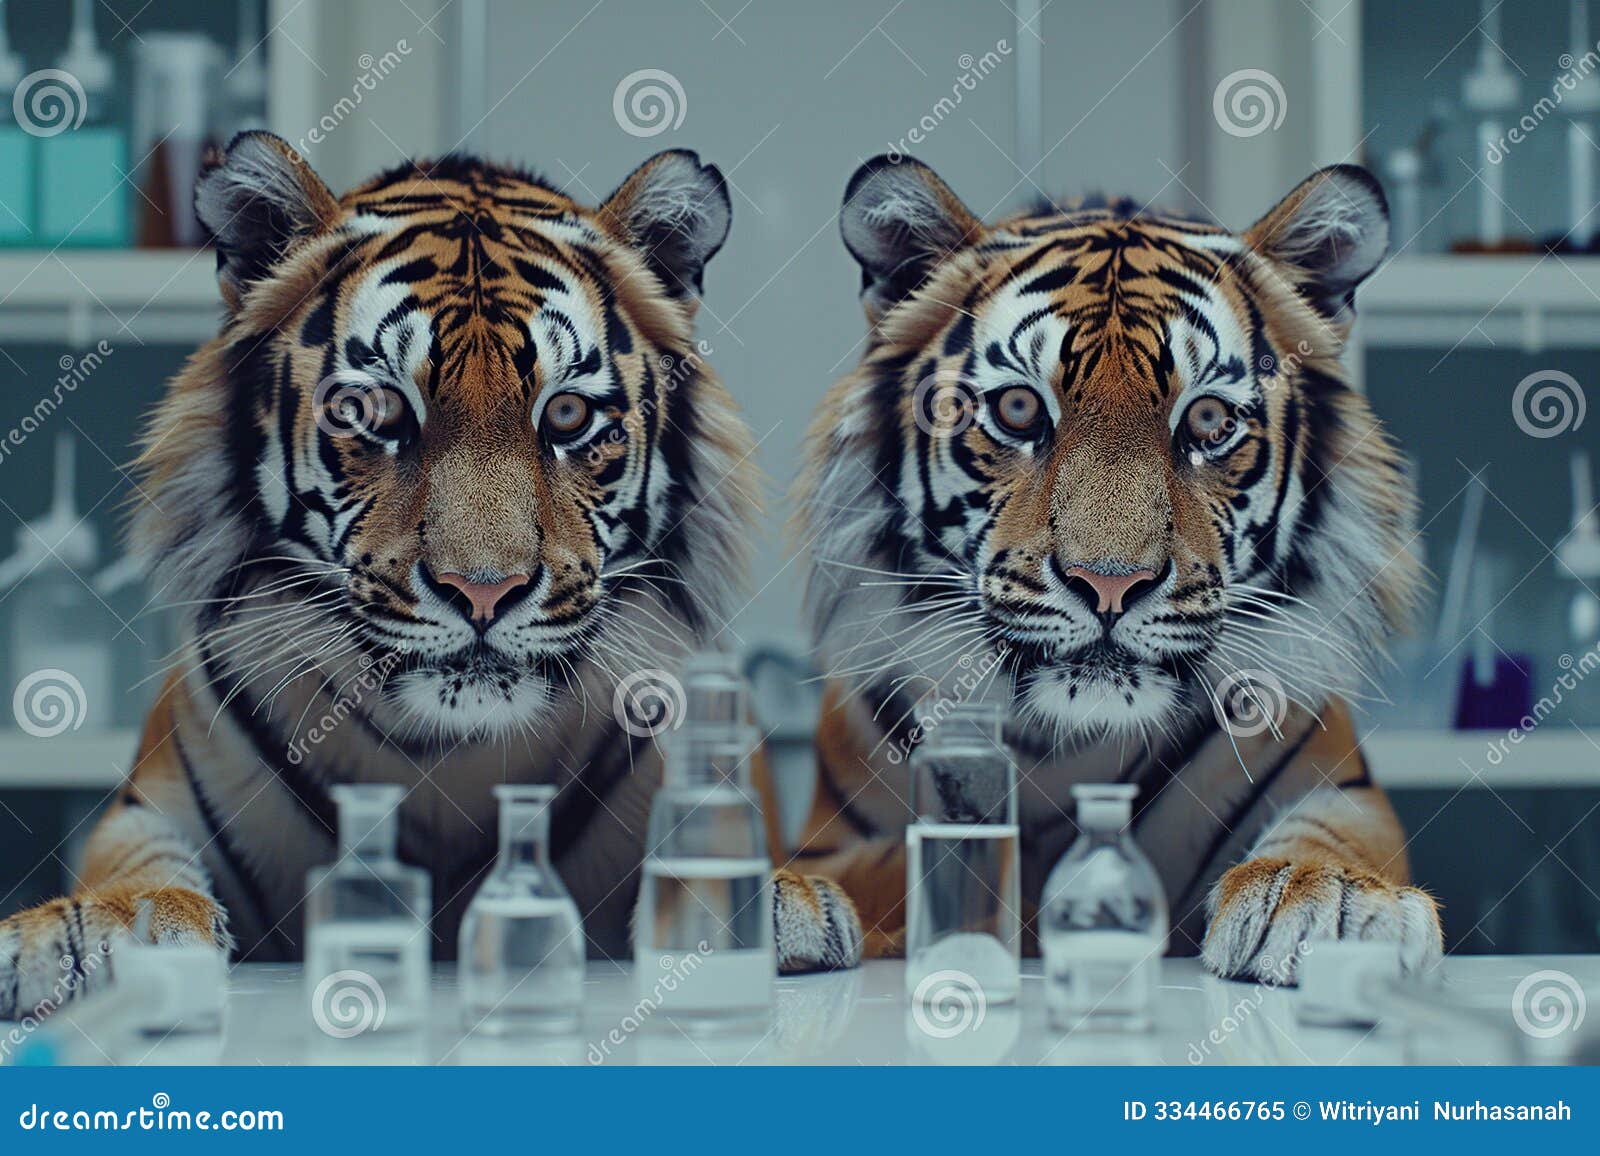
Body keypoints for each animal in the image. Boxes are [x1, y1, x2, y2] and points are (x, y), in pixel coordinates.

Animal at [0, 132, 841, 1019]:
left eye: (568, 415)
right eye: (372, 411)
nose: (484, 591)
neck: (443, 755)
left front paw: (765, 907)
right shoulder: (148, 805)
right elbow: (139, 869)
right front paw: (96, 932)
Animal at [772, 155, 1444, 984]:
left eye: (1208, 420)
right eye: (1020, 410)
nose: (1111, 584)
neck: (1066, 748)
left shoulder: (1341, 787)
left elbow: (1331, 837)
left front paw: (1334, 905)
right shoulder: (843, 829)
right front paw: (781, 900)